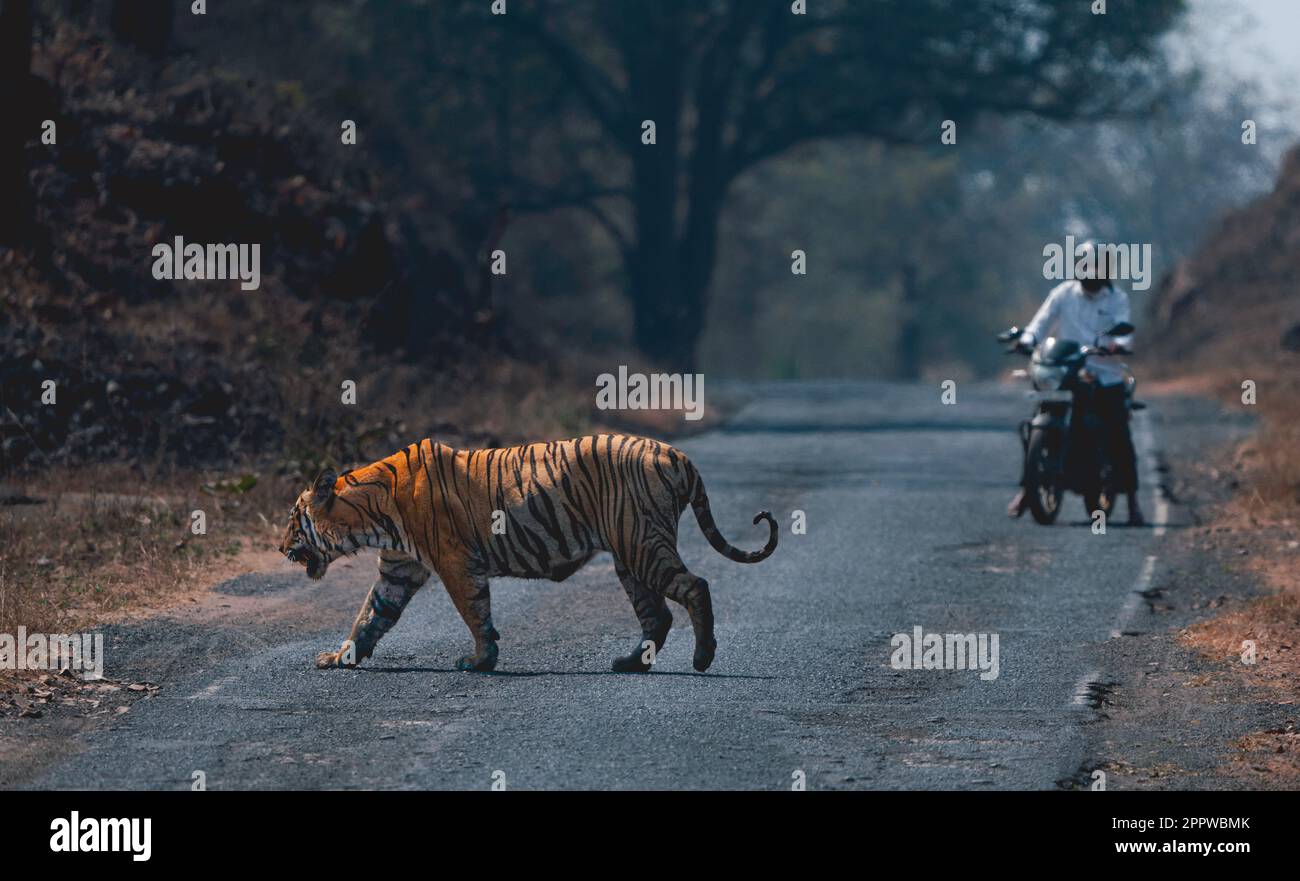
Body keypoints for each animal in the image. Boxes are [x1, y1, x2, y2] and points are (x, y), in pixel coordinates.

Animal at [279, 434, 777, 674]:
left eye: (292, 520)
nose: (281, 548)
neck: (373, 517)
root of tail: (676, 454)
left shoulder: (455, 563)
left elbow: (475, 613)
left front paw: (480, 662)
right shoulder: (400, 569)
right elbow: (369, 617)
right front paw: (339, 658)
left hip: (642, 545)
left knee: (695, 587)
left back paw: (703, 658)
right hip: (629, 555)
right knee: (658, 614)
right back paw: (629, 665)